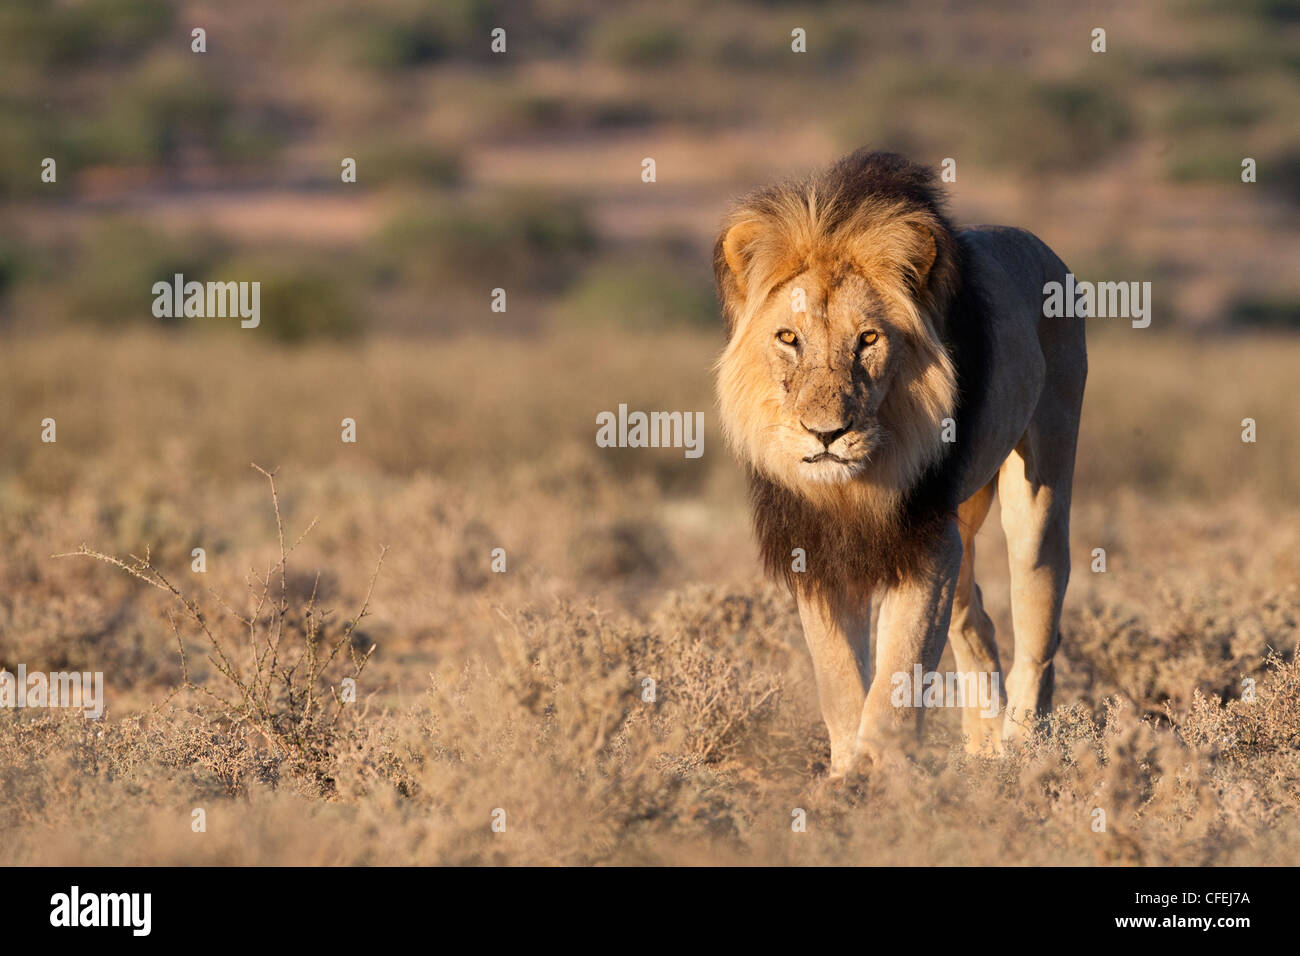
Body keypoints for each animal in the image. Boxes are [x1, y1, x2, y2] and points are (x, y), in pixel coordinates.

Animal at [713, 150, 1086, 774]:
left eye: (867, 340)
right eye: (788, 338)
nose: (827, 433)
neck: (852, 484)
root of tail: (1042, 248)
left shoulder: (926, 542)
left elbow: (898, 669)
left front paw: (879, 772)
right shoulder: (814, 549)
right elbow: (839, 676)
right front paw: (844, 773)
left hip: (1038, 496)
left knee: (1038, 625)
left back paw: (1021, 748)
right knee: (976, 620)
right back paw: (982, 749)